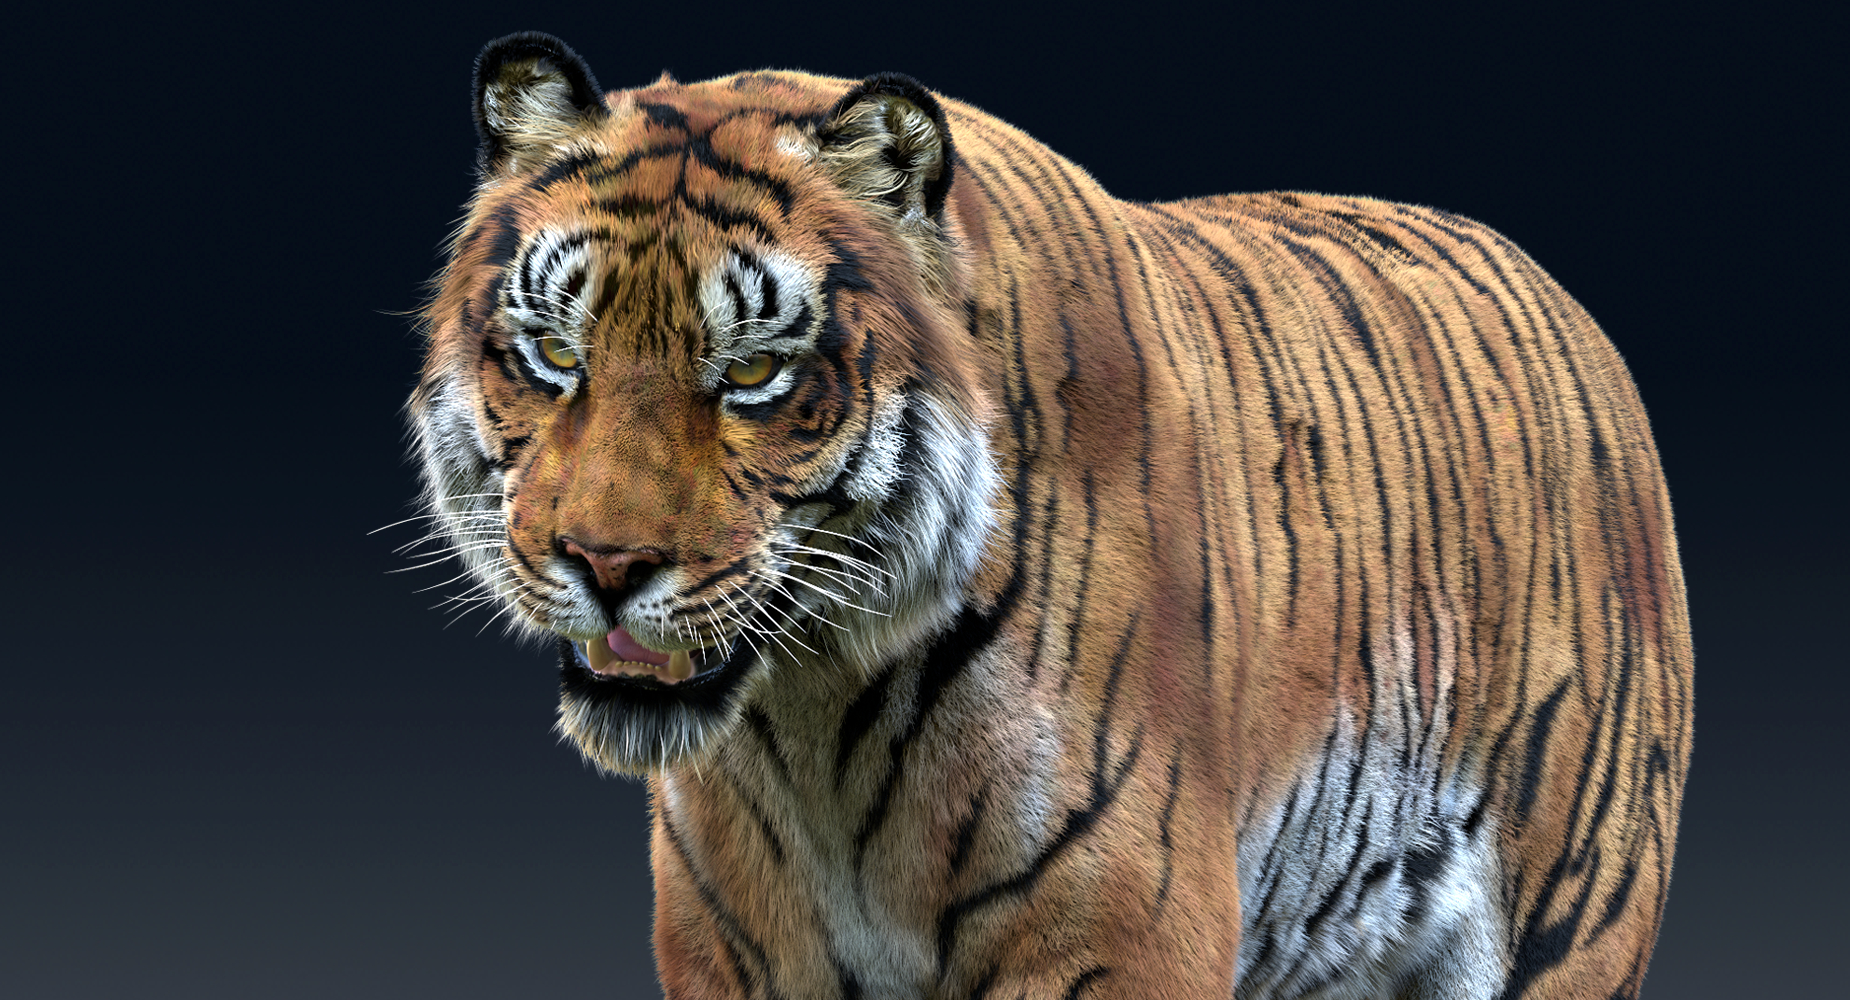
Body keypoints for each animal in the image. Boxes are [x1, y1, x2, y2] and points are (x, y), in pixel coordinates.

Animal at [405, 30, 1692, 1000]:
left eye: (753, 374)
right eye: (554, 353)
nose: (602, 562)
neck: (811, 721)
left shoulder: (1116, 932)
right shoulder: (732, 950)